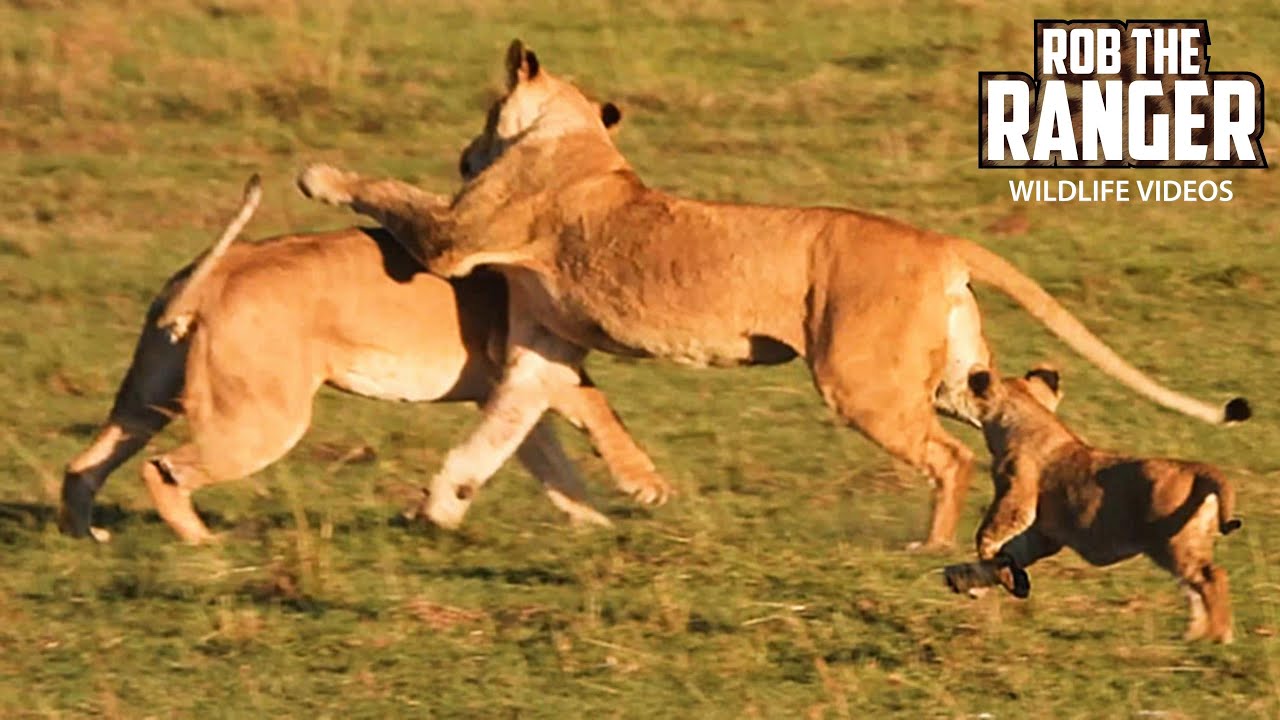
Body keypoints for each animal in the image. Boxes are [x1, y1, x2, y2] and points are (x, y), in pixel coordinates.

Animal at [60, 173, 670, 544]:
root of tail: (216, 273)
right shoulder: (539, 363)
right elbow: (599, 413)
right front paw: (646, 486)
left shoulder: (513, 384)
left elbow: (545, 459)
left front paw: (591, 521)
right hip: (263, 420)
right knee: (161, 469)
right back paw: (204, 542)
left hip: (147, 398)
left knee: (84, 466)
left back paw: (84, 536)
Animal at [297, 40, 1249, 548]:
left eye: (480, 123)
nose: (464, 151)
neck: (573, 136)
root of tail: (937, 239)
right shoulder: (537, 344)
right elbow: (499, 430)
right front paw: (443, 503)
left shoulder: (459, 241)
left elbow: (394, 194)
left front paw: (317, 173)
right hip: (949, 374)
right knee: (1014, 415)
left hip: (859, 377)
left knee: (950, 456)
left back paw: (929, 544)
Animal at [943, 365, 1242, 643]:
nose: (940, 391)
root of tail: (1196, 469)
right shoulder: (1043, 536)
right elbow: (1005, 557)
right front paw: (963, 578)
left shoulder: (1018, 499)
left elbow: (987, 539)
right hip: (1182, 546)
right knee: (1194, 588)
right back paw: (1193, 635)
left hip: (1175, 545)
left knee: (1214, 577)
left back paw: (1220, 637)